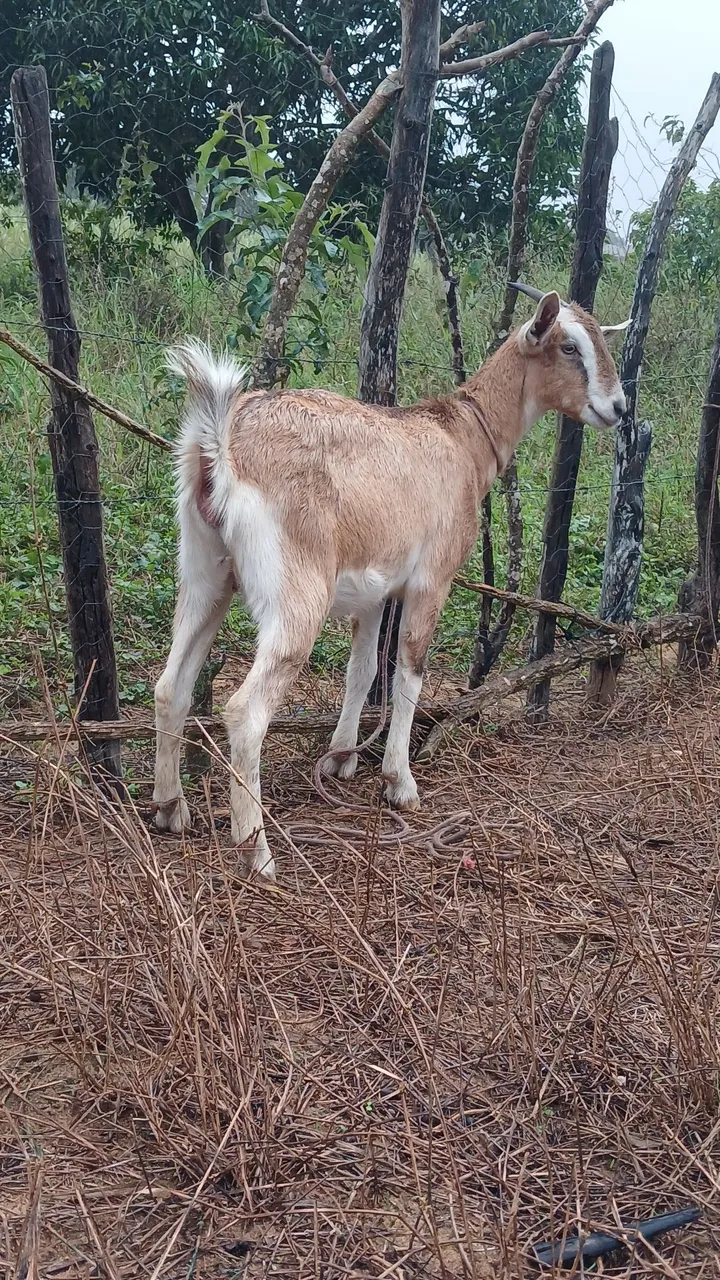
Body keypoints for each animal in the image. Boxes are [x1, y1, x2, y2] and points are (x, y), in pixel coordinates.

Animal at [153, 287, 626, 881]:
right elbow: (409, 674)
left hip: (205, 573)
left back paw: (170, 809)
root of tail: (222, 445)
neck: (463, 437)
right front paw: (399, 781)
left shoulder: (375, 593)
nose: (619, 408)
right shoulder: (431, 580)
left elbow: (361, 672)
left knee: (171, 685)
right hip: (294, 593)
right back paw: (257, 853)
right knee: (245, 711)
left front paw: (341, 758)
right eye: (568, 346)